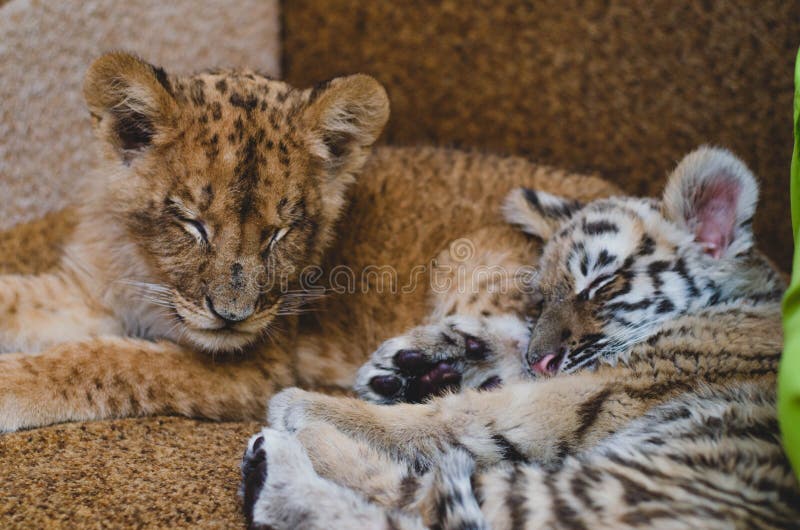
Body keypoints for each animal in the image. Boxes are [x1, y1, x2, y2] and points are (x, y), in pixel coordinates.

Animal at [241, 146, 800, 529]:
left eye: (599, 284)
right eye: (541, 296)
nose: (541, 361)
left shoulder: (594, 395)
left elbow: (449, 419)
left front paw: (306, 406)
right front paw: (420, 364)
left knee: (420, 496)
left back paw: (284, 453)